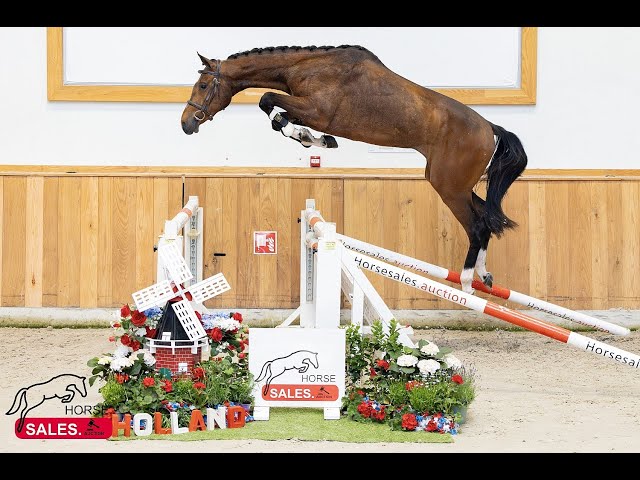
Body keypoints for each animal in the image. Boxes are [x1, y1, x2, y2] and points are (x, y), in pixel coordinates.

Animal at [181, 46, 528, 294]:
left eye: (203, 85)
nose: (186, 124)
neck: (308, 67)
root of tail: (489, 128)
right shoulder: (306, 108)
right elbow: (274, 109)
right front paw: (313, 138)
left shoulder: (316, 110)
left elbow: (268, 100)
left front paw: (308, 137)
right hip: (454, 185)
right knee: (487, 219)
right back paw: (484, 274)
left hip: (449, 188)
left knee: (477, 227)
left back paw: (468, 283)